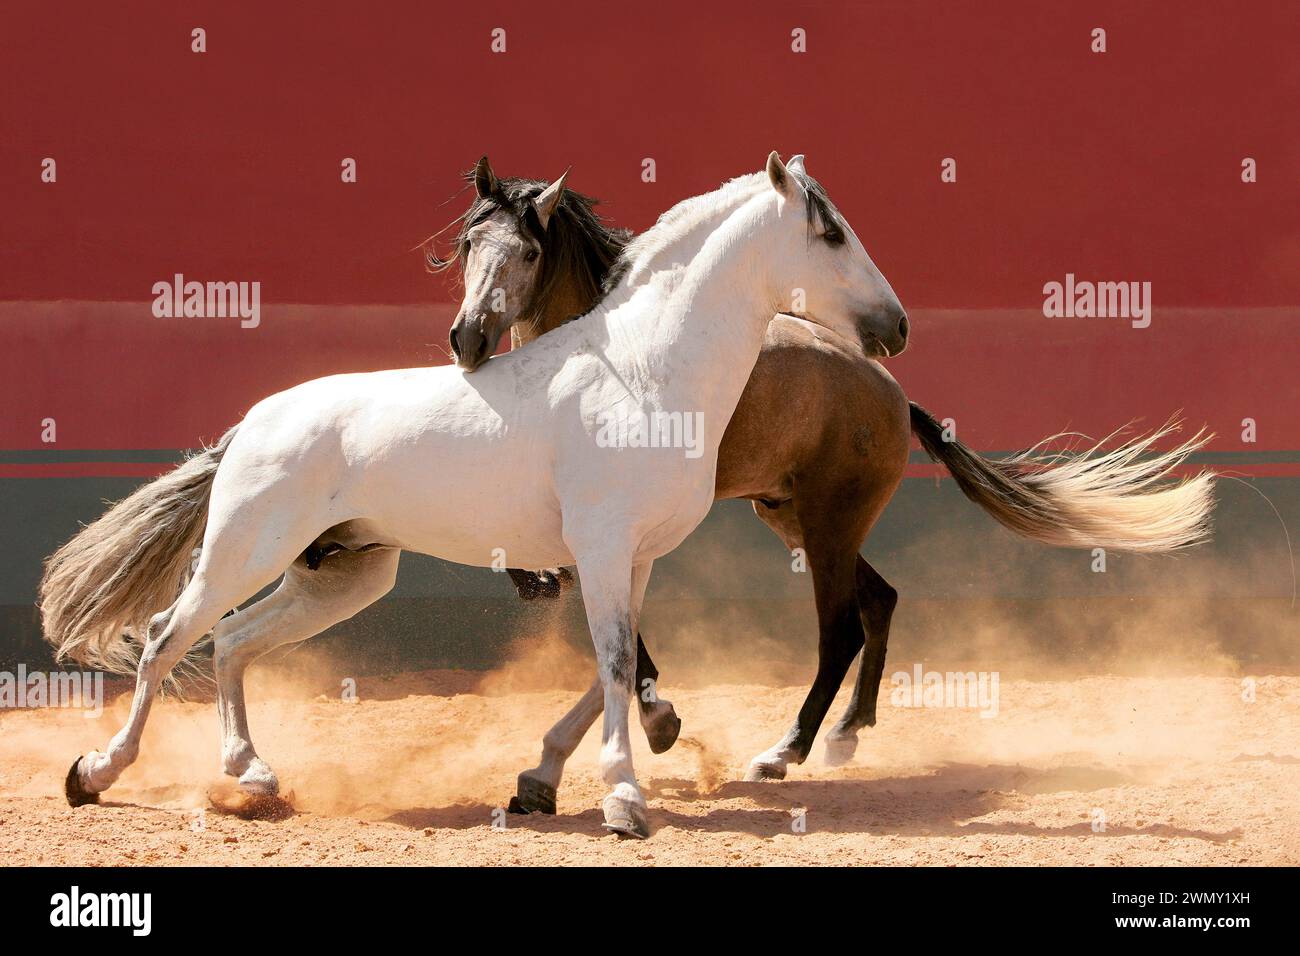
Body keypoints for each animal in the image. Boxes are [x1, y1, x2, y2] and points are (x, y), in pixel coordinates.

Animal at [39, 152, 911, 839]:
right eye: (832, 233)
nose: (897, 325)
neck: (644, 371)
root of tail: (250, 425)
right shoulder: (600, 550)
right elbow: (619, 662)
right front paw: (624, 802)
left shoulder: (635, 560)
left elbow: (622, 663)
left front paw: (545, 780)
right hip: (244, 551)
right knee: (166, 637)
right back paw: (94, 774)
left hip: (341, 575)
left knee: (230, 641)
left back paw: (253, 774)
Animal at [430, 155, 1216, 814]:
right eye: (469, 246)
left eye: (529, 252)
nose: (468, 339)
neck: (626, 351)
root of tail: (892, 393)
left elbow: (623, 635)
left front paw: (657, 724)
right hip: (797, 519)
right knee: (880, 599)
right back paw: (846, 732)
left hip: (827, 527)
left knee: (841, 628)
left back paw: (785, 751)